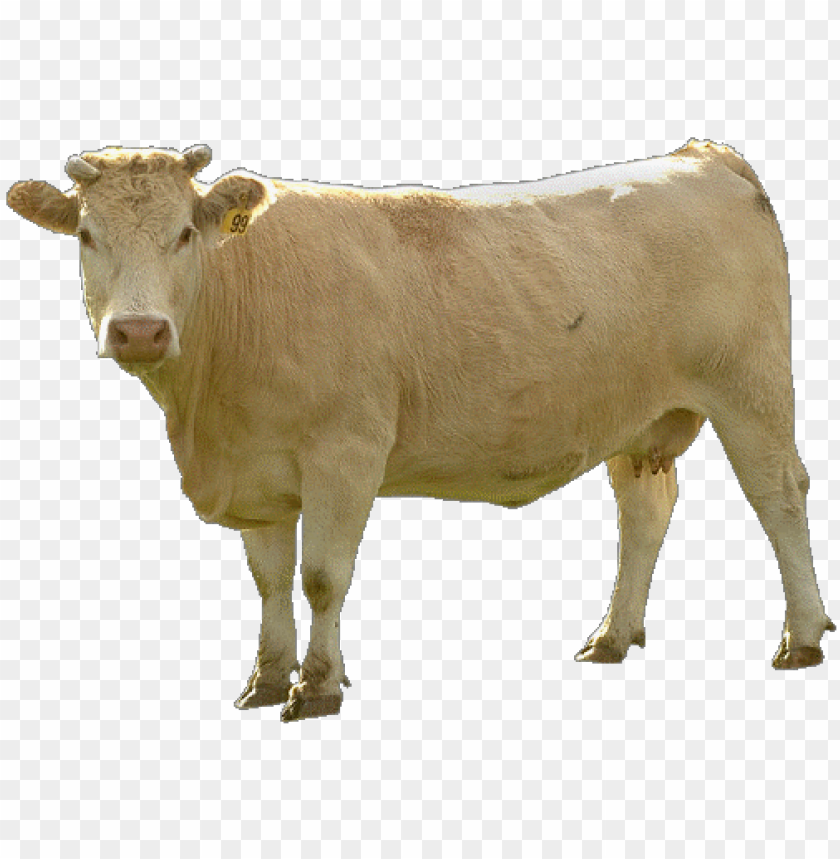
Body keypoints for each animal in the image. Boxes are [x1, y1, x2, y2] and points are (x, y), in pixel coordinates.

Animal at [7, 140, 834, 721]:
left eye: (184, 233)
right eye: (86, 234)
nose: (139, 331)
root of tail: (702, 154)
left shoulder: (345, 452)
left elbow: (321, 576)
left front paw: (318, 687)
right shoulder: (257, 470)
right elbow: (270, 578)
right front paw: (266, 679)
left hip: (751, 387)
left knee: (779, 495)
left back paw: (801, 636)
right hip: (637, 411)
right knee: (646, 509)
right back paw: (613, 634)